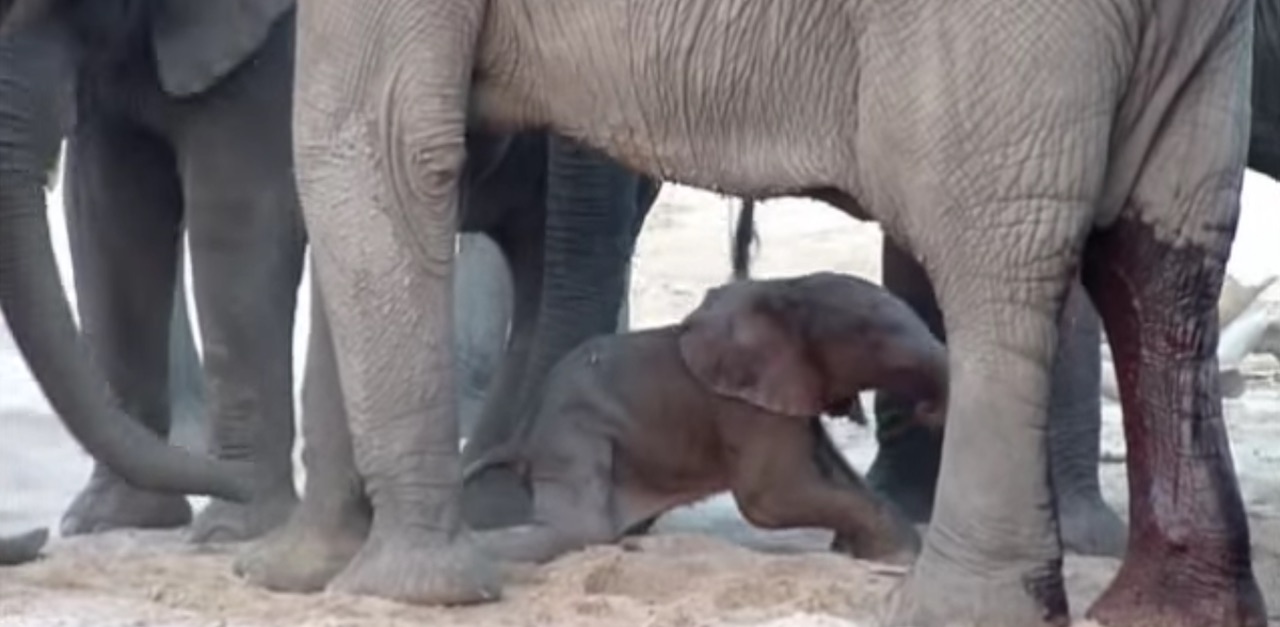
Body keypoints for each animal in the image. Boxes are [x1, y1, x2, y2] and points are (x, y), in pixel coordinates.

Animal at [468, 272, 946, 567]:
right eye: (873, 339)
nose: (926, 410)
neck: (785, 286)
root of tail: (521, 435)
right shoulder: (744, 407)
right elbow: (770, 498)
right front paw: (899, 556)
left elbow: (832, 470)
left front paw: (861, 551)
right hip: (574, 434)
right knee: (583, 528)